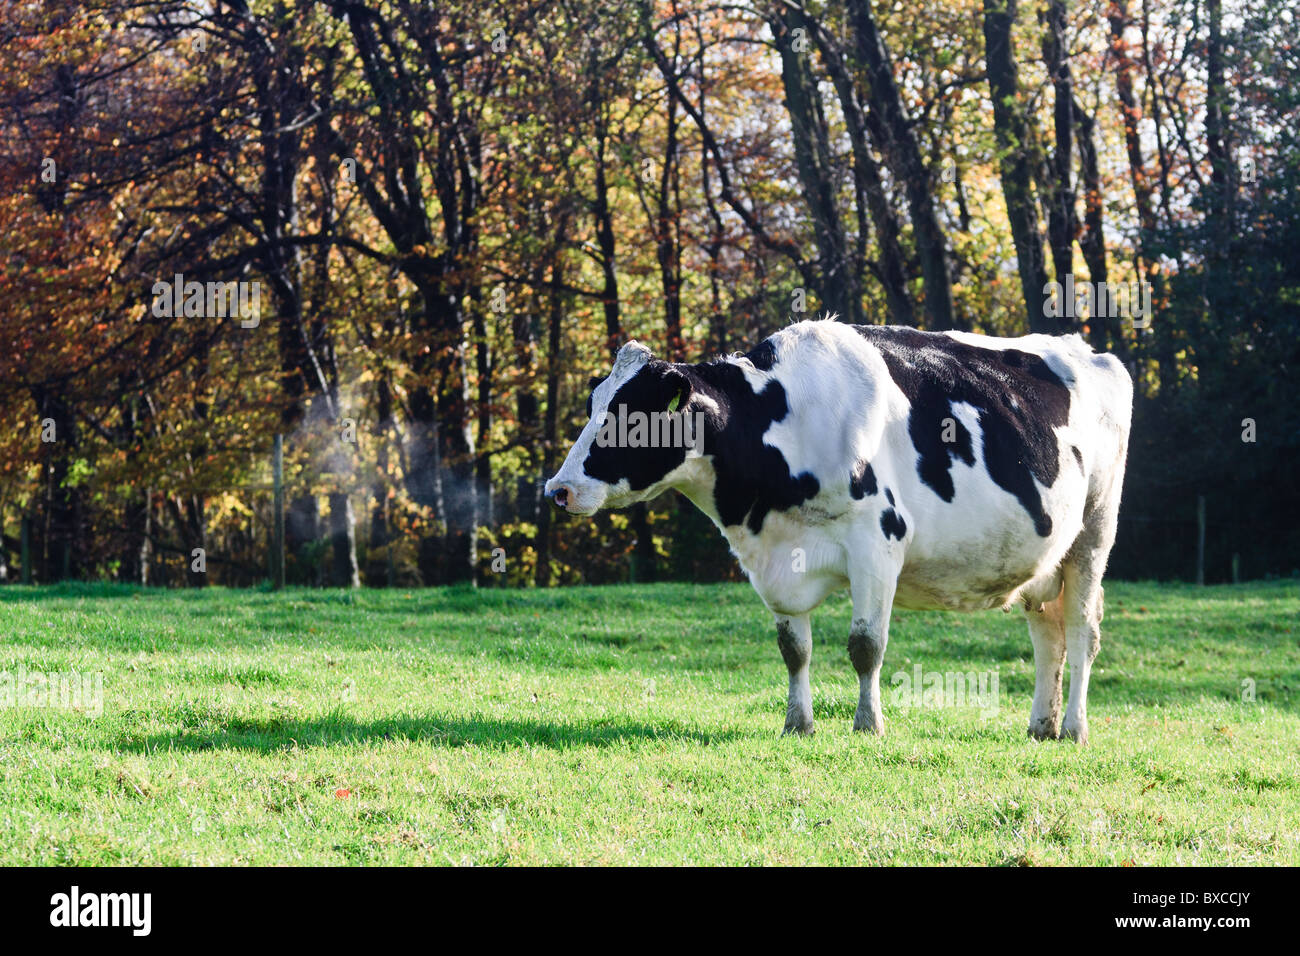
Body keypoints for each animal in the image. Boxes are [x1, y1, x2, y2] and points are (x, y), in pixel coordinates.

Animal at [544, 319, 1132, 743]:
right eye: (596, 405)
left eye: (630, 416)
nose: (558, 489)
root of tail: (1088, 350)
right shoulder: (777, 560)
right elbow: (793, 649)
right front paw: (797, 724)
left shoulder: (876, 543)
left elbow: (865, 645)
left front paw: (868, 725)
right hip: (1043, 558)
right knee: (1048, 637)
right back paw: (1040, 726)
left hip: (1093, 534)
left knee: (1081, 632)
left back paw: (1074, 729)